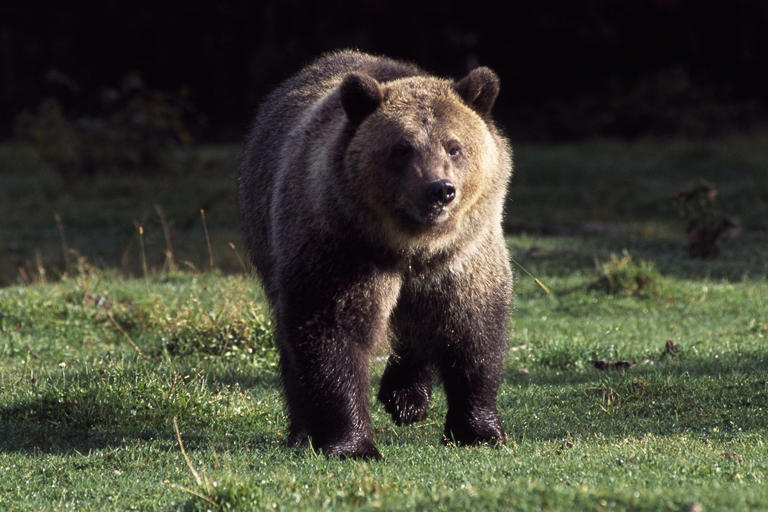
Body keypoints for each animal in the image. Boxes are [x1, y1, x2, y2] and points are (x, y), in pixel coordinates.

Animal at [237, 50, 513, 459]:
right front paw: (352, 443)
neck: (411, 246)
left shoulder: (463, 256)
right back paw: (303, 429)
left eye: (454, 146)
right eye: (402, 148)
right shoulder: (342, 249)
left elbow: (472, 330)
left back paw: (407, 398)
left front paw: (478, 430)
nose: (440, 190)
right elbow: (334, 333)